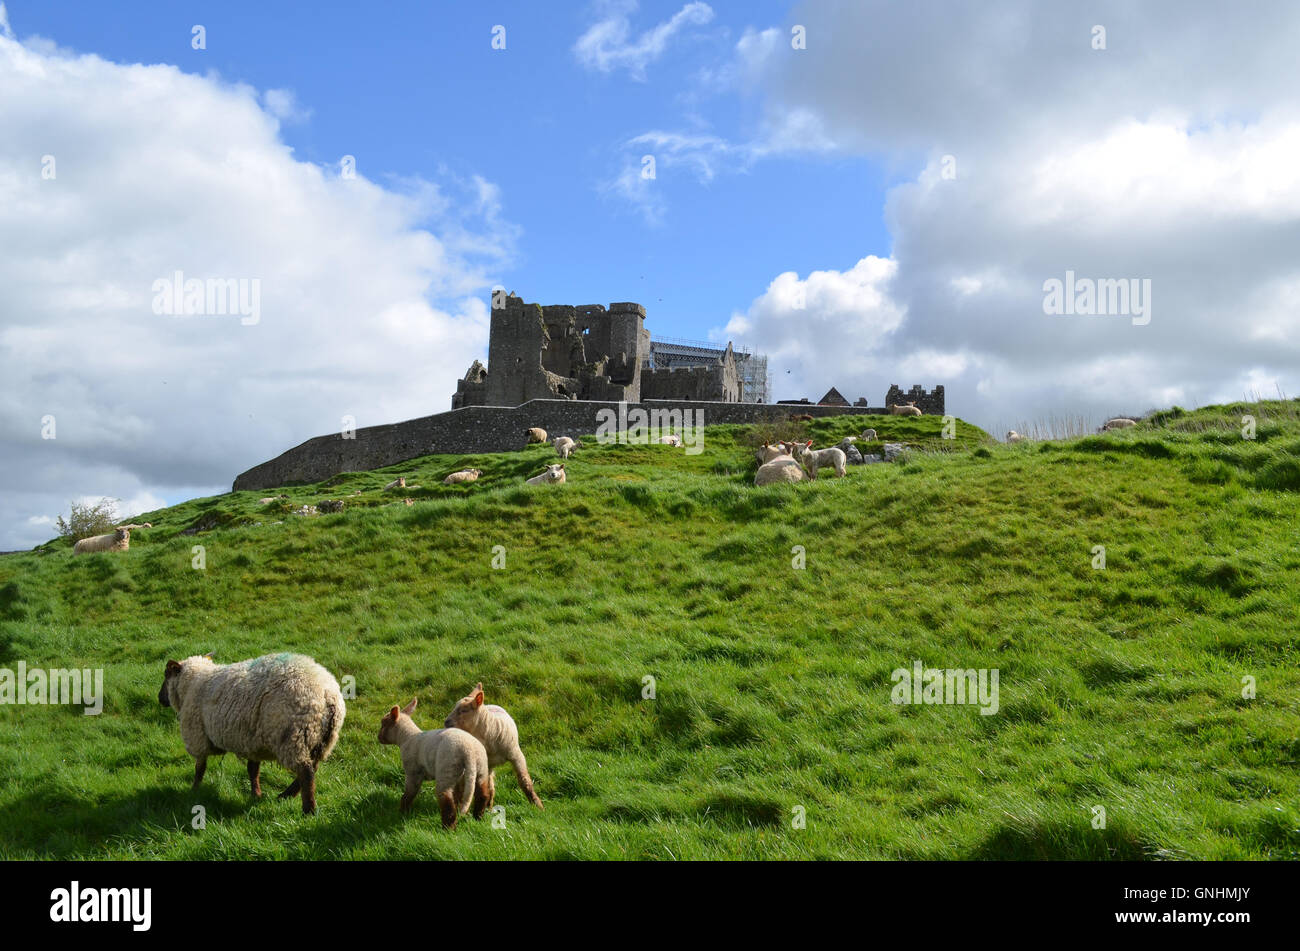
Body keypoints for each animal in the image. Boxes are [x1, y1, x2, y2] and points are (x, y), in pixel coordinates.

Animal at [158, 652, 345, 815]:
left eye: (166, 675)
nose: (160, 699)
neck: (192, 684)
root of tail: (328, 694)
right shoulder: (252, 741)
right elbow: (252, 770)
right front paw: (256, 794)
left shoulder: (198, 736)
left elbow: (199, 768)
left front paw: (194, 790)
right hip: (320, 740)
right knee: (313, 767)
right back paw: (285, 796)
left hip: (293, 737)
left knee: (306, 772)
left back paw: (308, 809)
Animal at [378, 698, 492, 828]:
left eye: (383, 724)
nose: (378, 737)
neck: (407, 737)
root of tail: (469, 751)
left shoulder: (412, 772)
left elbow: (409, 794)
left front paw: (402, 812)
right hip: (481, 768)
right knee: (482, 795)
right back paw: (478, 818)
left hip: (446, 769)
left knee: (447, 802)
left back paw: (447, 828)